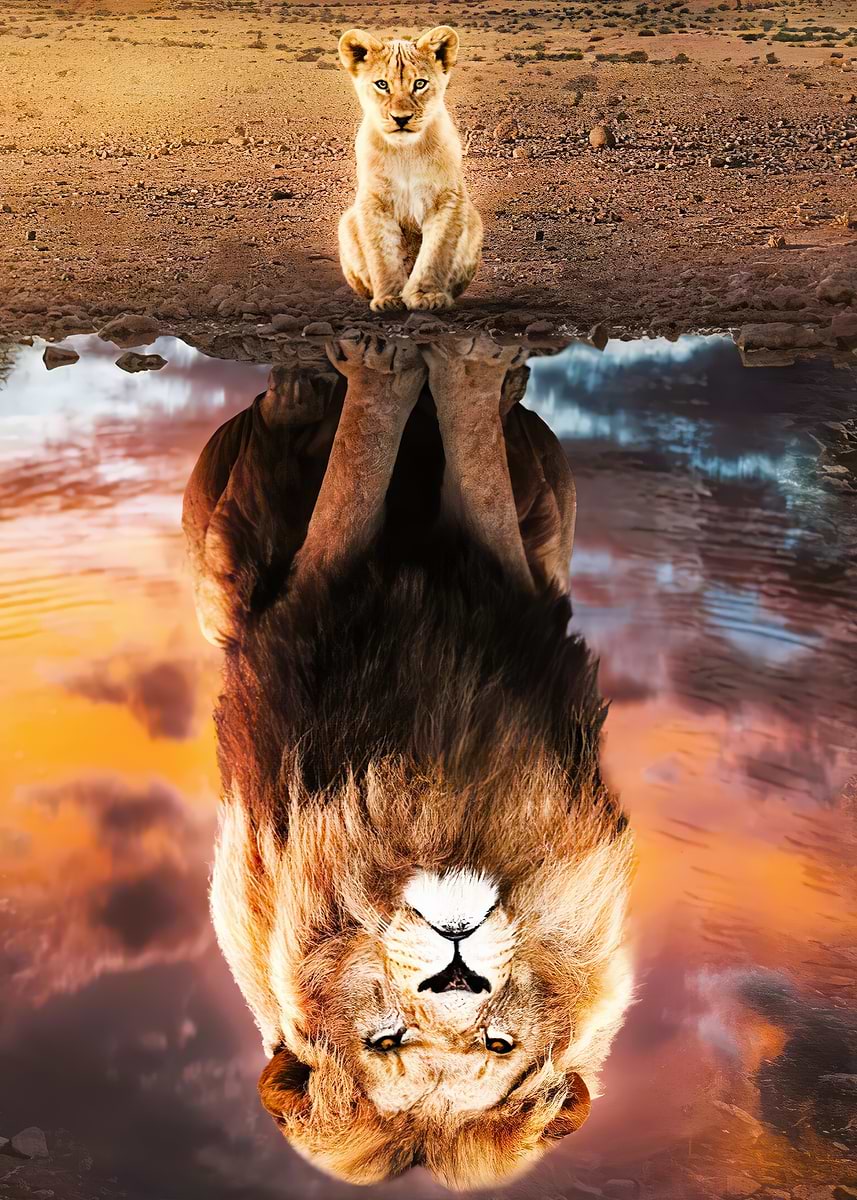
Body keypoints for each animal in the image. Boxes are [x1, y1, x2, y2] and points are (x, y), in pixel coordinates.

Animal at [183, 334, 635, 1190]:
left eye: (496, 1043)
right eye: (386, 1040)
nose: (456, 969)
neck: (430, 808)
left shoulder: (514, 580)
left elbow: (469, 470)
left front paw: (461, 368)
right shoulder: (310, 591)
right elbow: (361, 464)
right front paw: (390, 366)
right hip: (212, 561)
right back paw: (298, 393)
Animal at [336, 26, 483, 312]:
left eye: (420, 84)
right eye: (382, 84)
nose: (401, 119)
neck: (405, 152)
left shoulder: (447, 199)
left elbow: (436, 253)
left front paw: (427, 296)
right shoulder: (374, 201)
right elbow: (383, 255)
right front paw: (389, 298)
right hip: (346, 222)